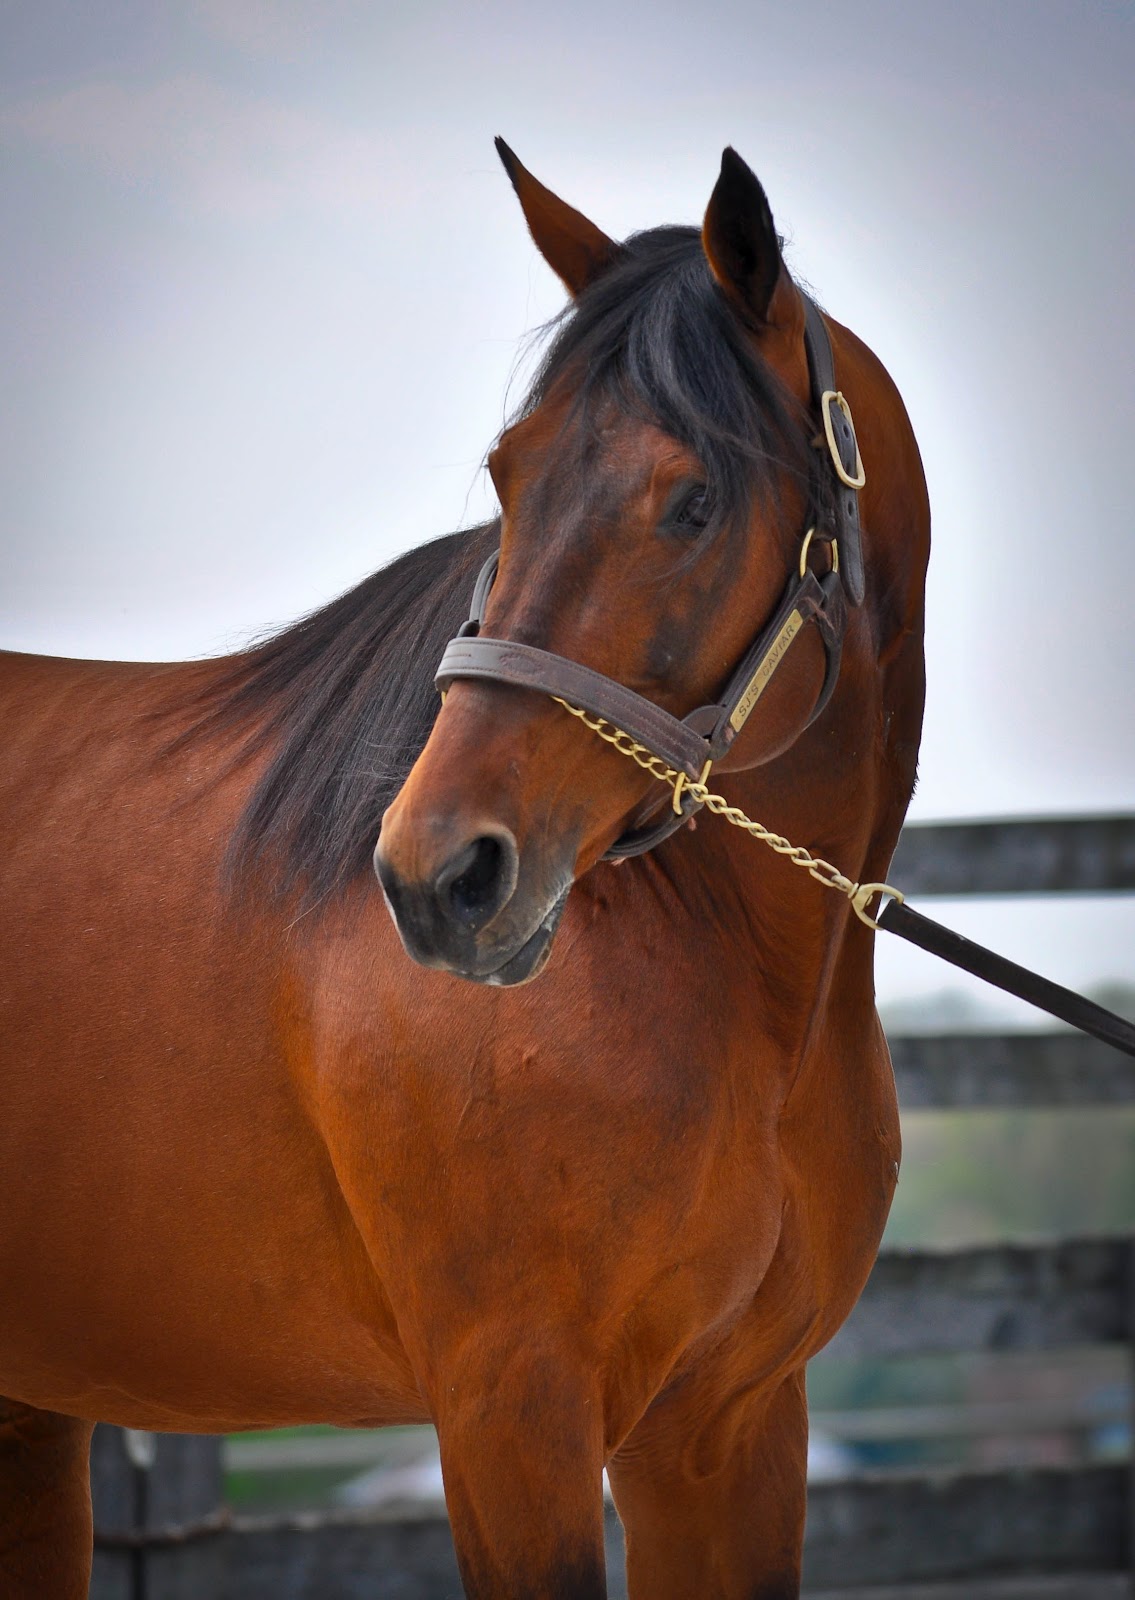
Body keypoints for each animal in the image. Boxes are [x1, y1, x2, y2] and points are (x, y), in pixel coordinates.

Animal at [0, 141, 929, 1599]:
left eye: (696, 499)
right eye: (509, 474)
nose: (440, 878)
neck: (735, 991)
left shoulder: (725, 1430)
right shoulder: (513, 1417)